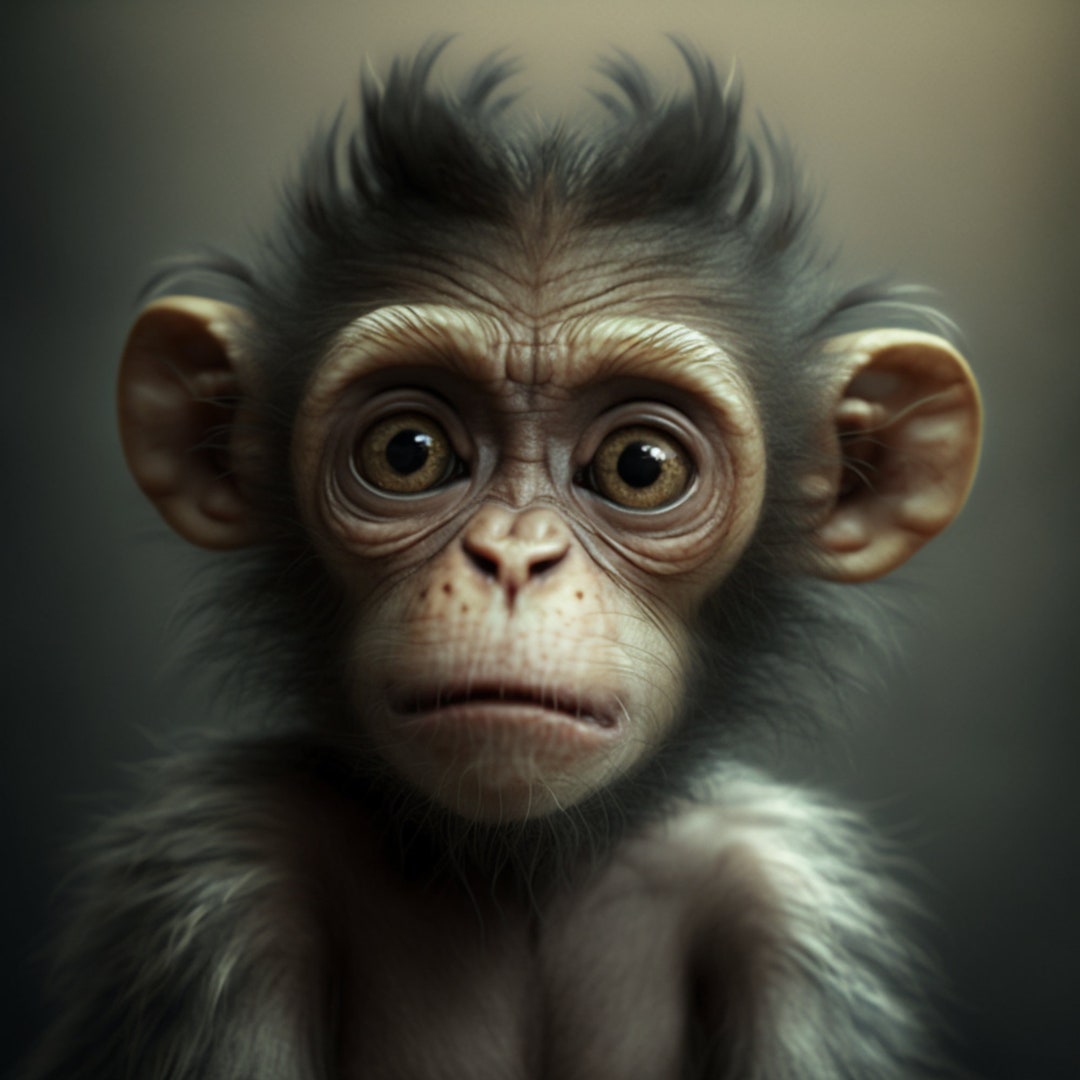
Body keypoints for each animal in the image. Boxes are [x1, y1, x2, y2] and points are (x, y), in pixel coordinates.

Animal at [22, 42, 982, 1080]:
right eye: (408, 451)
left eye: (640, 467)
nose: (515, 558)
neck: (517, 876)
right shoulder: (212, 879)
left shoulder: (793, 905)